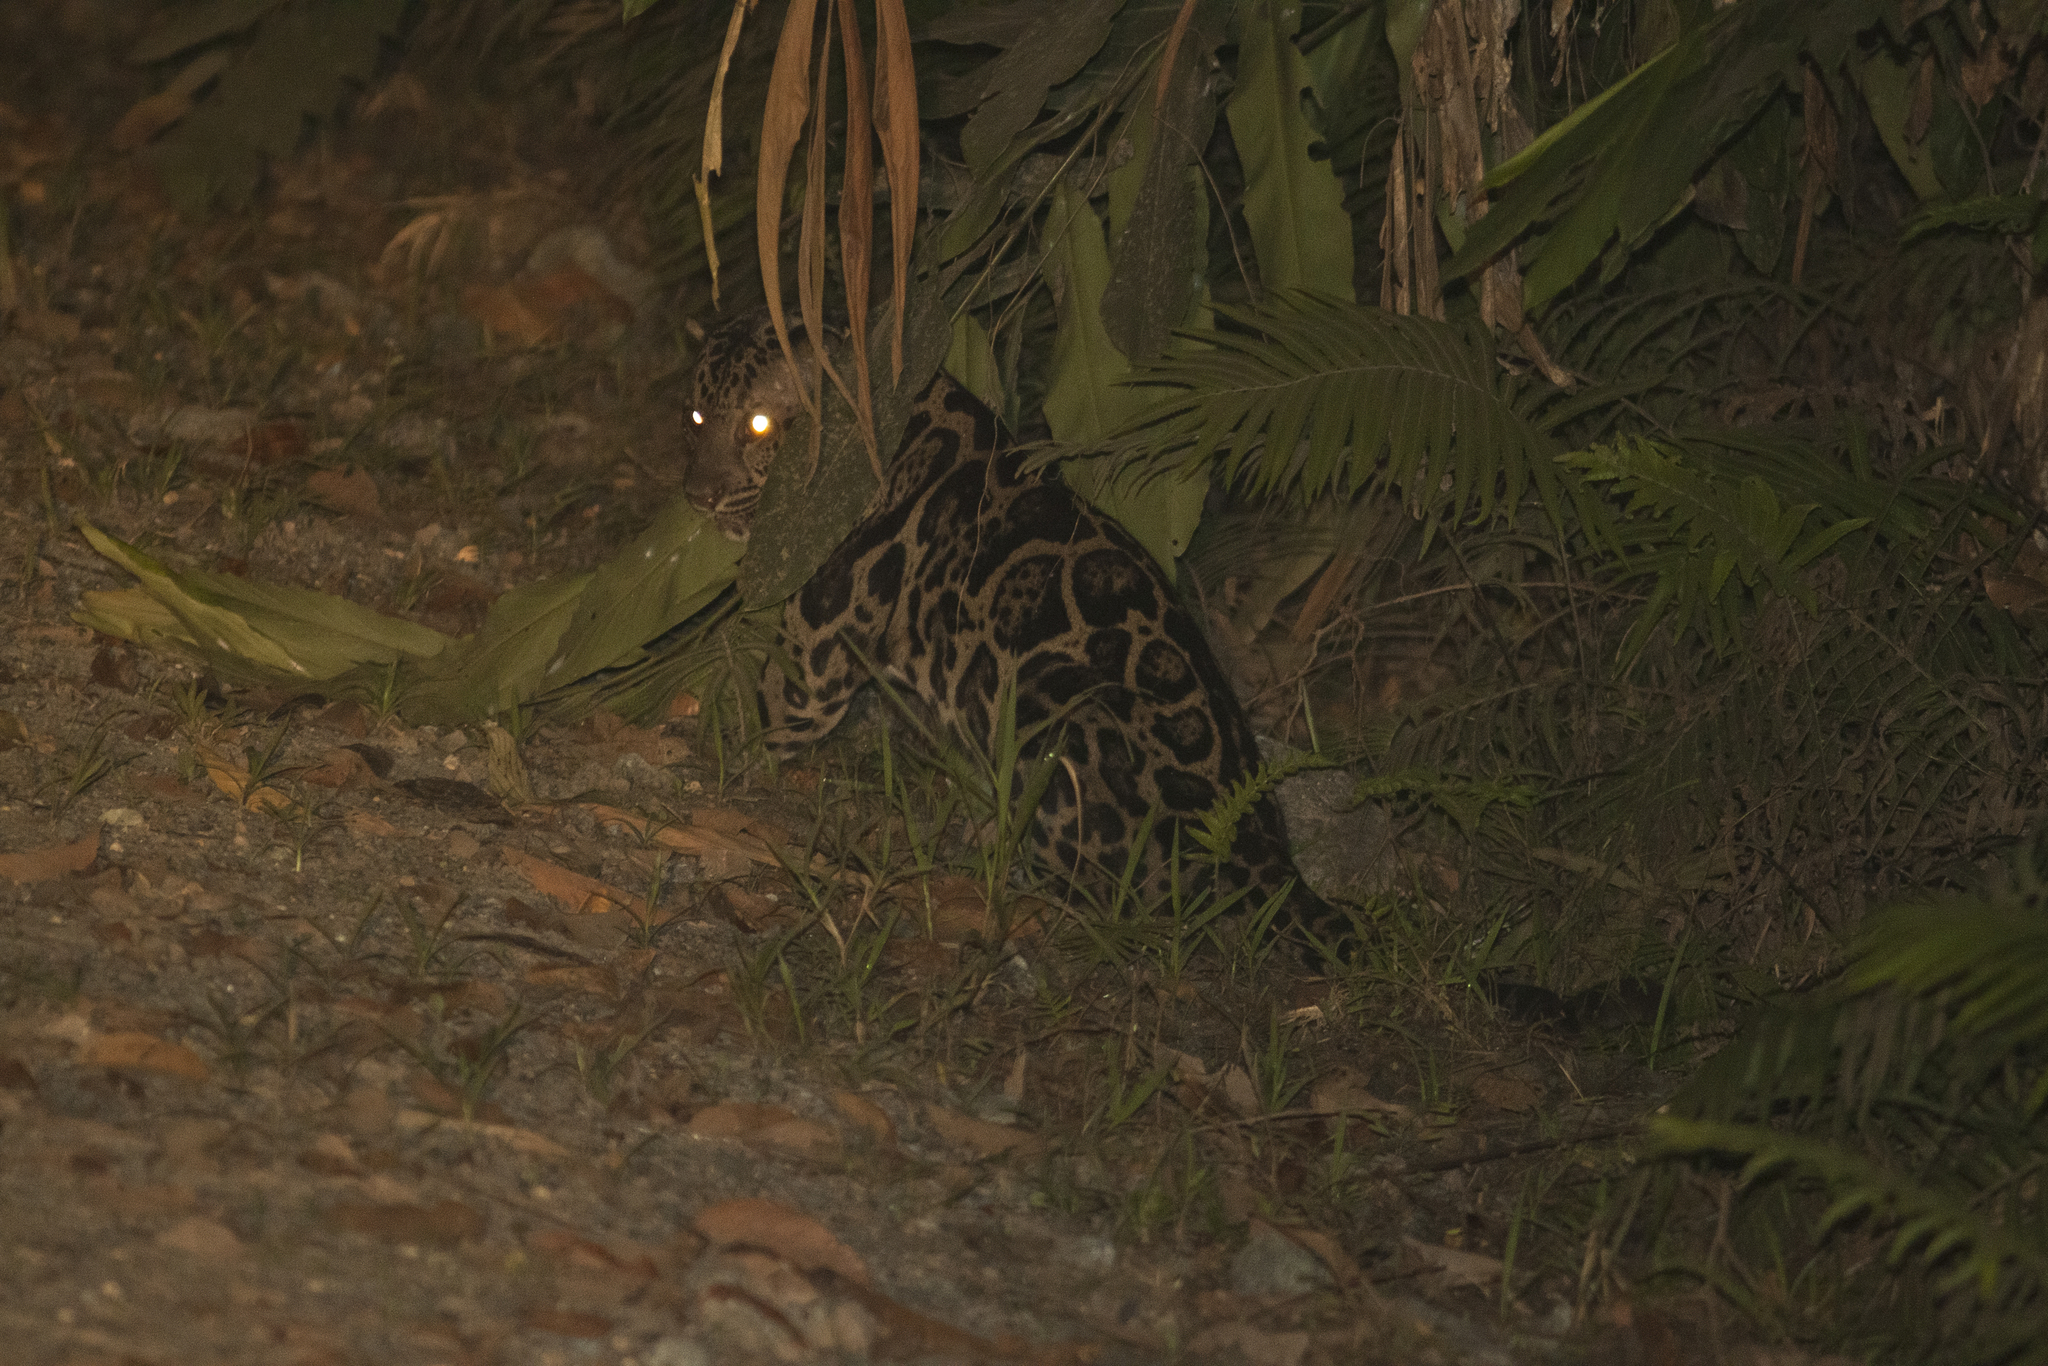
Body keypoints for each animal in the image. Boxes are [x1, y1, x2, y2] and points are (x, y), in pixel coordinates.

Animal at [686, 310, 1337, 946]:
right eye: (696, 416)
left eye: (759, 425)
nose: (699, 496)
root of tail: (1261, 849)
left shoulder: (820, 637)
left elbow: (771, 716)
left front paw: (718, 771)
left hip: (1047, 699)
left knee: (1133, 907)